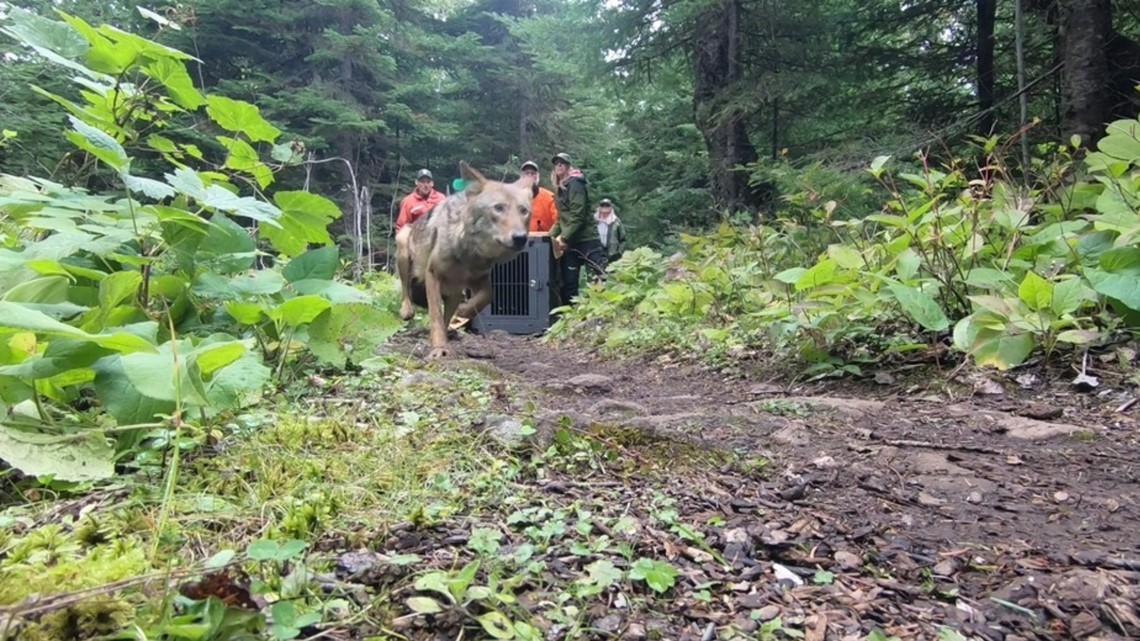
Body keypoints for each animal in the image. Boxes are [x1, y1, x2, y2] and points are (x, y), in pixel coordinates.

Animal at [395, 162, 535, 359]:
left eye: (524, 211)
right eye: (498, 208)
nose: (520, 238)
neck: (469, 254)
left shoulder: (478, 279)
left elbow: (488, 295)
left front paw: (465, 310)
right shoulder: (433, 274)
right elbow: (436, 315)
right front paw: (439, 349)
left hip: (454, 292)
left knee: (447, 317)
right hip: (403, 242)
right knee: (406, 287)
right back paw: (407, 310)